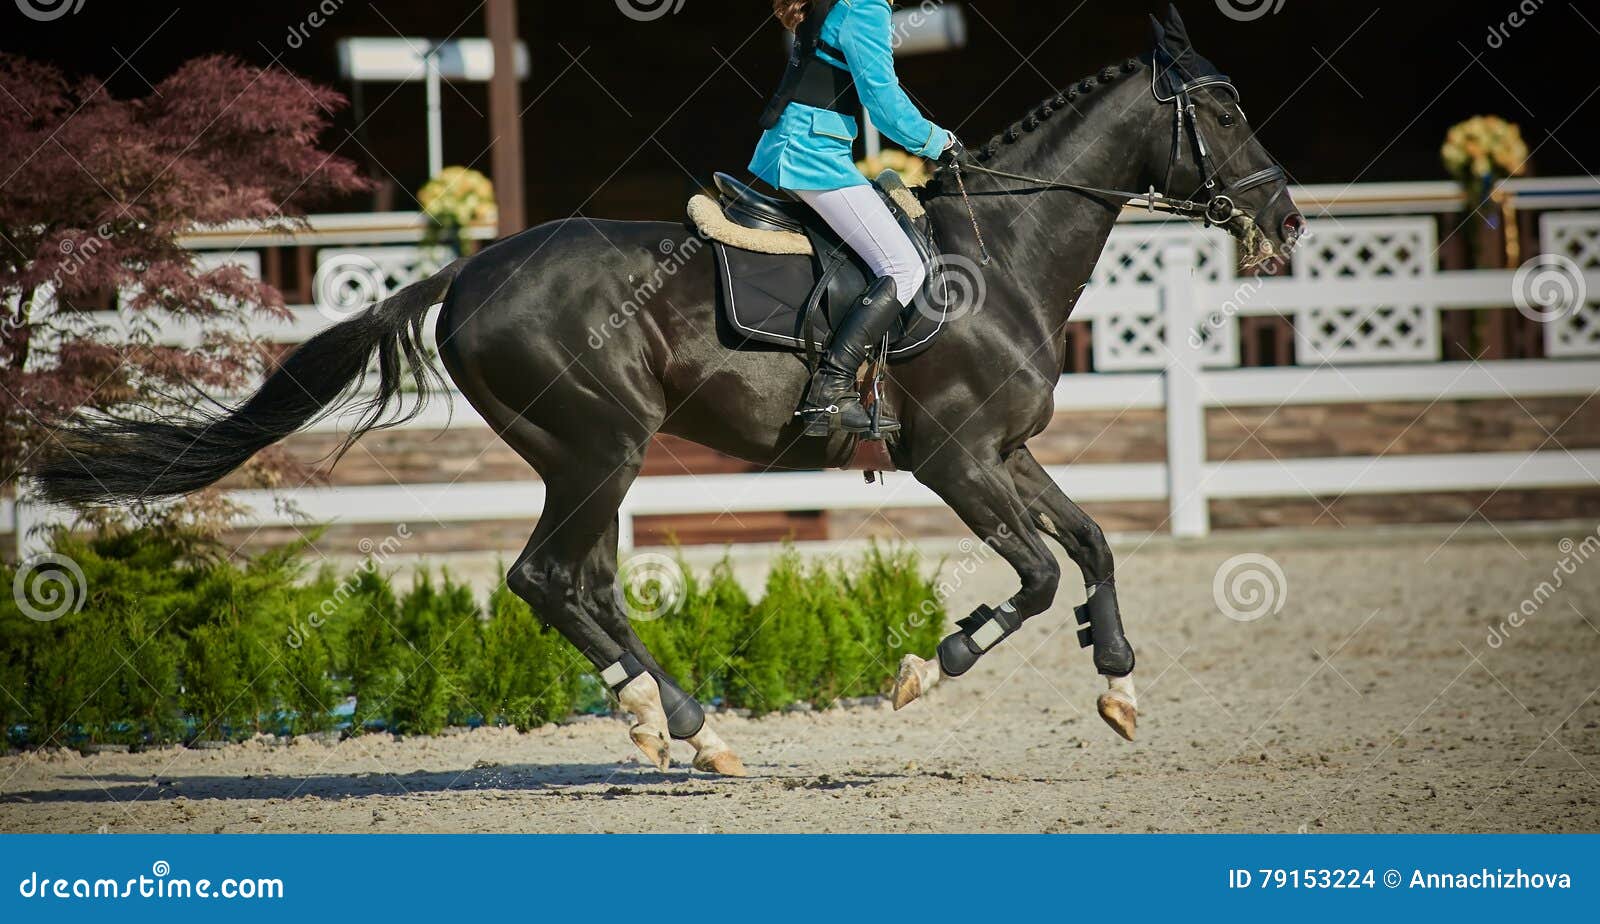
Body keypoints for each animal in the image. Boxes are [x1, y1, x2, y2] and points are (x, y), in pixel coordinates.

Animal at [35, 5, 1302, 776]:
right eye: (1223, 107)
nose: (1287, 222)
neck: (997, 250)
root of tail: (468, 268)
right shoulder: (954, 459)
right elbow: (1036, 577)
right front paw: (920, 670)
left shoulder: (1004, 450)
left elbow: (1091, 545)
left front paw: (1119, 685)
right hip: (601, 447)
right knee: (543, 577)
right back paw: (675, 722)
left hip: (587, 457)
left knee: (585, 582)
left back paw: (680, 730)